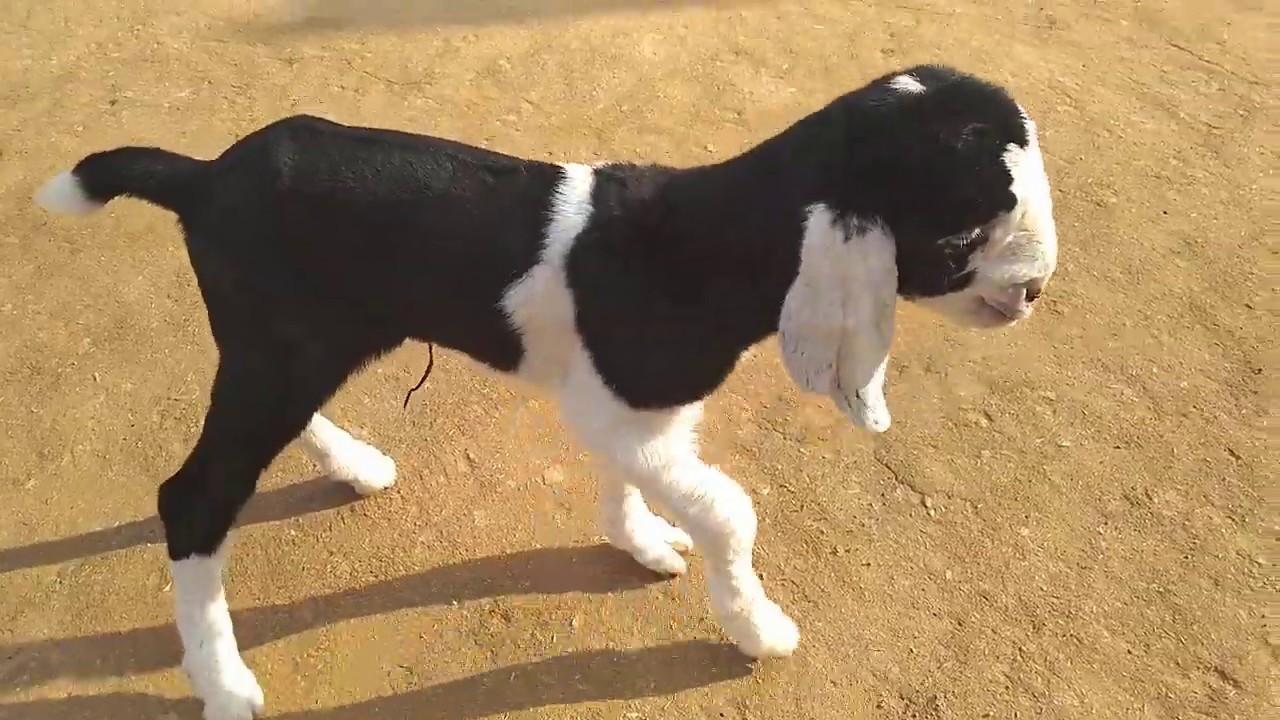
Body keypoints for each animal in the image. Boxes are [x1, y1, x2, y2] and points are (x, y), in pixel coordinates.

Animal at [34, 64, 1058, 720]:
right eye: (963, 234)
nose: (1034, 292)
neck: (704, 236)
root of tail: (205, 178)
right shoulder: (621, 407)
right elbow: (731, 511)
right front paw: (756, 626)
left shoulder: (633, 411)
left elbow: (638, 479)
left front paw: (643, 541)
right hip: (276, 349)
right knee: (194, 497)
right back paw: (223, 684)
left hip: (296, 342)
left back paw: (354, 463)